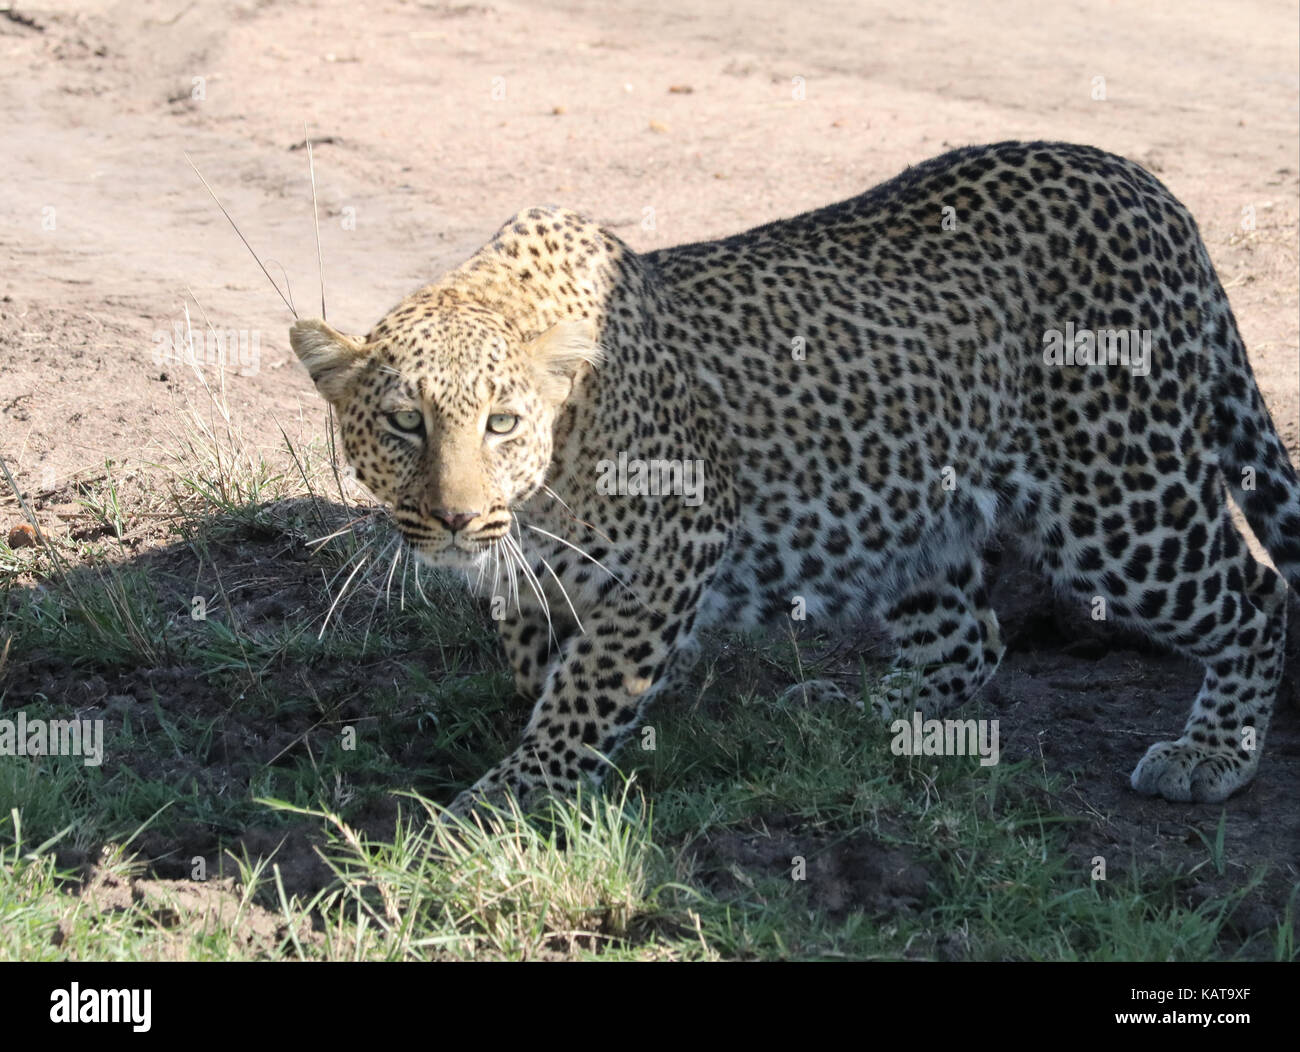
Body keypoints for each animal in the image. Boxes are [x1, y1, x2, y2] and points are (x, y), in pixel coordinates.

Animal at [289, 140, 1300, 815]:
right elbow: (540, 652)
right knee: (968, 636)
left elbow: (585, 690)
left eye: (500, 423)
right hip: (917, 512)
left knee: (1257, 597)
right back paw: (854, 716)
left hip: (1120, 497)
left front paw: (508, 797)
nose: (457, 520)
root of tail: (1144, 185)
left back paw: (1213, 753)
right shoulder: (542, 573)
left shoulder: (677, 543)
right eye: (405, 423)